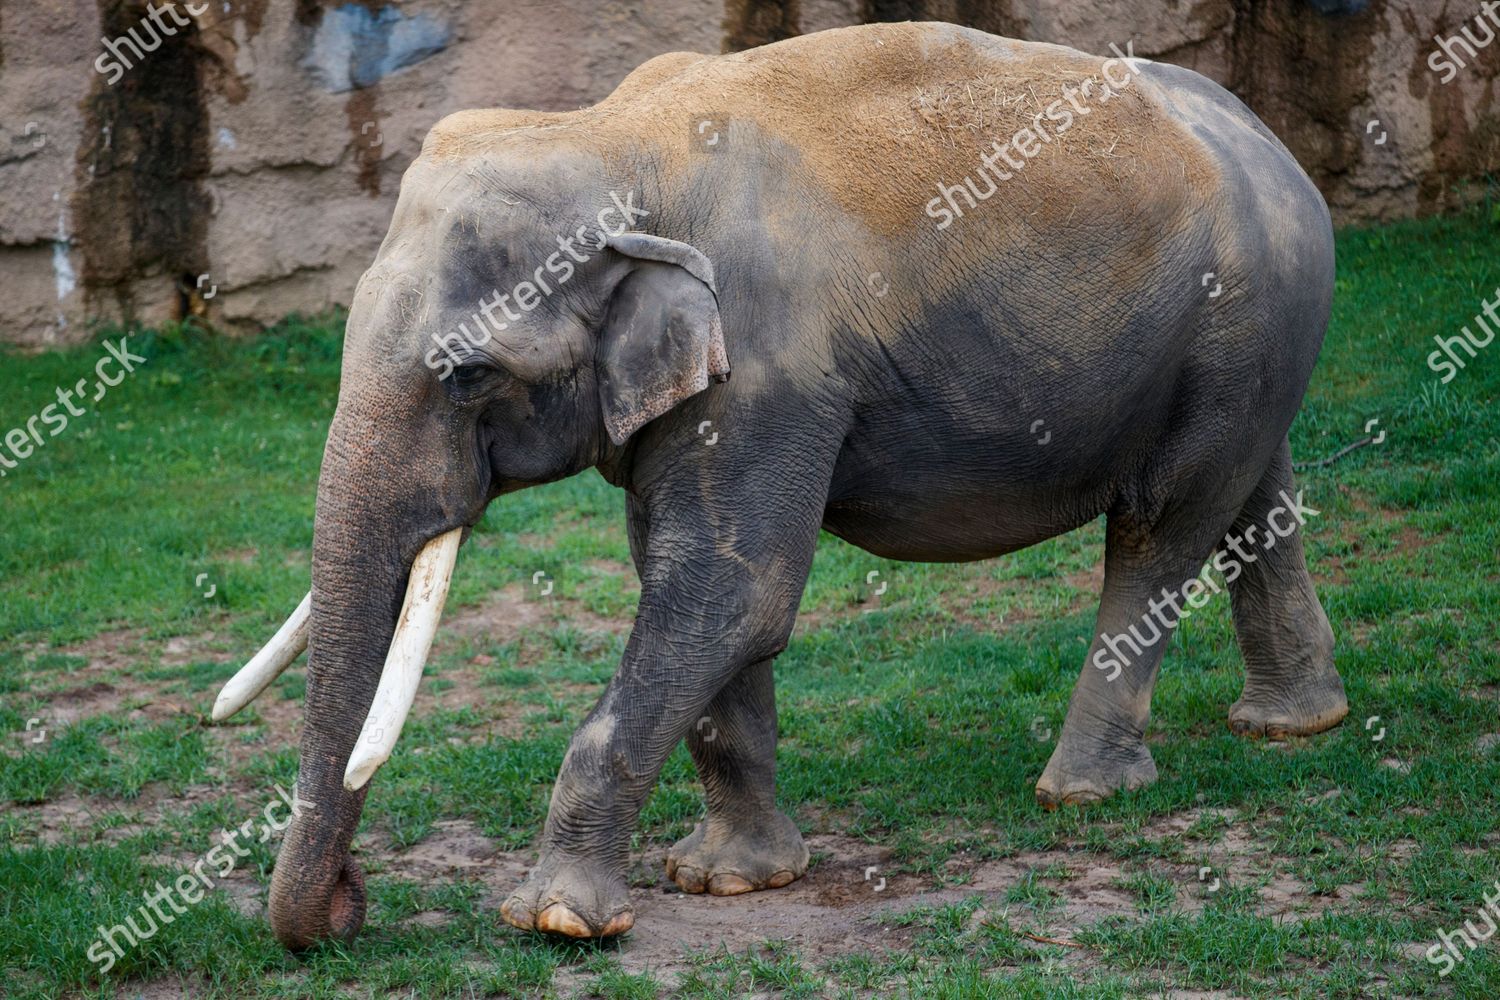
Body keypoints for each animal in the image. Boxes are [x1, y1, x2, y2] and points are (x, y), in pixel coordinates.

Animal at [212, 21, 1349, 946]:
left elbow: (731, 588)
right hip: (1245, 339)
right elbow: (698, 591)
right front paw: (732, 880)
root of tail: (1280, 150)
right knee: (1252, 498)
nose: (352, 904)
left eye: (466, 374)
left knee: (1162, 525)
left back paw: (1084, 793)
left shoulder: (770, 366)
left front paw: (558, 919)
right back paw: (1294, 725)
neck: (612, 139)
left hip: (1235, 317)